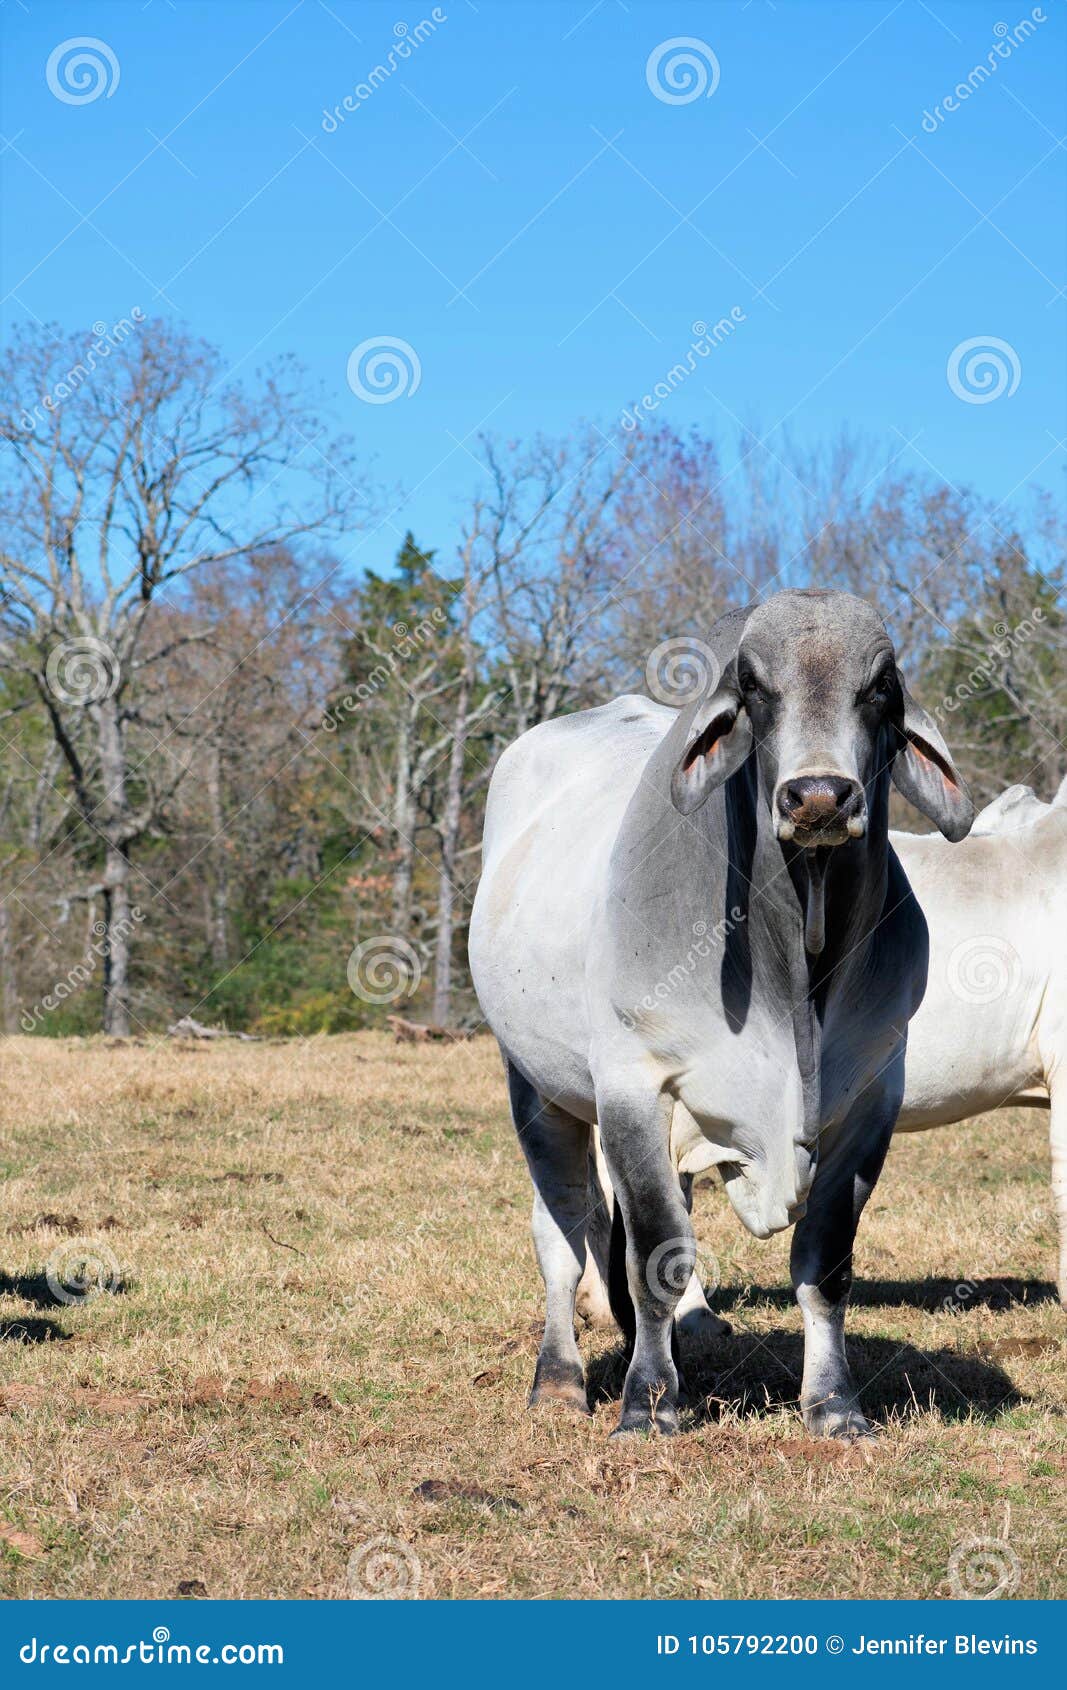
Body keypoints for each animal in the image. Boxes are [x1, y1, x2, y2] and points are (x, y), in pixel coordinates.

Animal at [468, 590, 973, 1440]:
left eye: (880, 687)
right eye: (753, 687)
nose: (817, 797)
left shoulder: (873, 1096)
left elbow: (824, 1264)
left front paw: (833, 1405)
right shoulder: (634, 1084)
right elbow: (656, 1254)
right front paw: (646, 1407)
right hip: (532, 1084)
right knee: (563, 1232)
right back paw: (559, 1379)